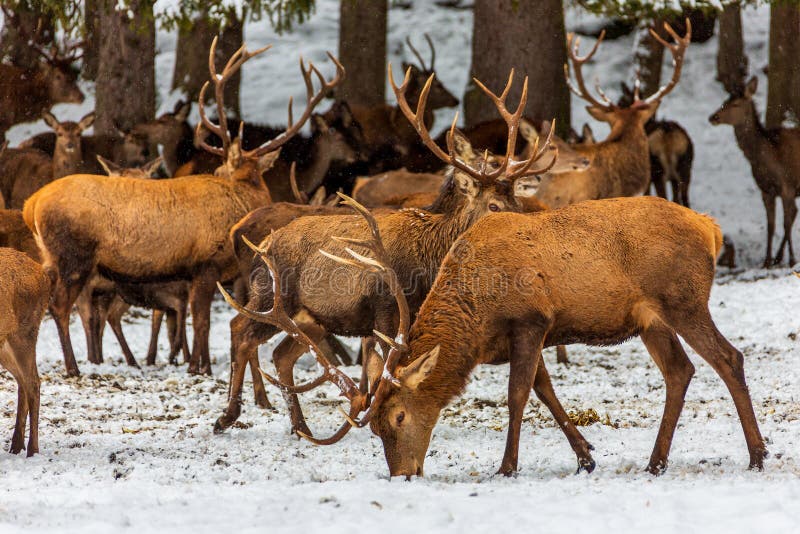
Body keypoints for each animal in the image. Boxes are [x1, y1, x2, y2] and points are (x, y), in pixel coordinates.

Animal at [22, 37, 344, 377]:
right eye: (219, 168)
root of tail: (32, 205)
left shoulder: (191, 274)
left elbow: (191, 319)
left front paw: (196, 362)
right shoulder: (206, 263)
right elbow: (202, 321)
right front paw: (200, 367)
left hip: (52, 257)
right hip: (74, 255)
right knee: (60, 306)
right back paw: (73, 366)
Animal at [212, 63, 557, 436]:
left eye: (515, 199)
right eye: (493, 205)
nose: (522, 229)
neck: (429, 261)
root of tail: (260, 245)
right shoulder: (387, 309)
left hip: (312, 317)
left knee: (280, 354)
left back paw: (300, 425)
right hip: (273, 296)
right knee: (241, 331)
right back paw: (227, 415)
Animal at [233, 192, 768, 479]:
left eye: (398, 417)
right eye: (378, 429)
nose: (404, 473)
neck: (478, 314)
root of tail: (711, 229)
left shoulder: (532, 320)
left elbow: (518, 394)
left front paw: (508, 465)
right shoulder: (527, 335)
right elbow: (545, 390)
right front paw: (585, 457)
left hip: (684, 301)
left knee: (729, 359)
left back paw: (757, 455)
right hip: (651, 320)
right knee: (681, 371)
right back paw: (655, 462)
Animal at [709, 75, 800, 267]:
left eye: (736, 104)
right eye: (724, 101)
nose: (713, 117)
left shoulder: (787, 186)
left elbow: (786, 223)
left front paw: (792, 259)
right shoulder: (765, 190)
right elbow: (771, 225)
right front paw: (767, 261)